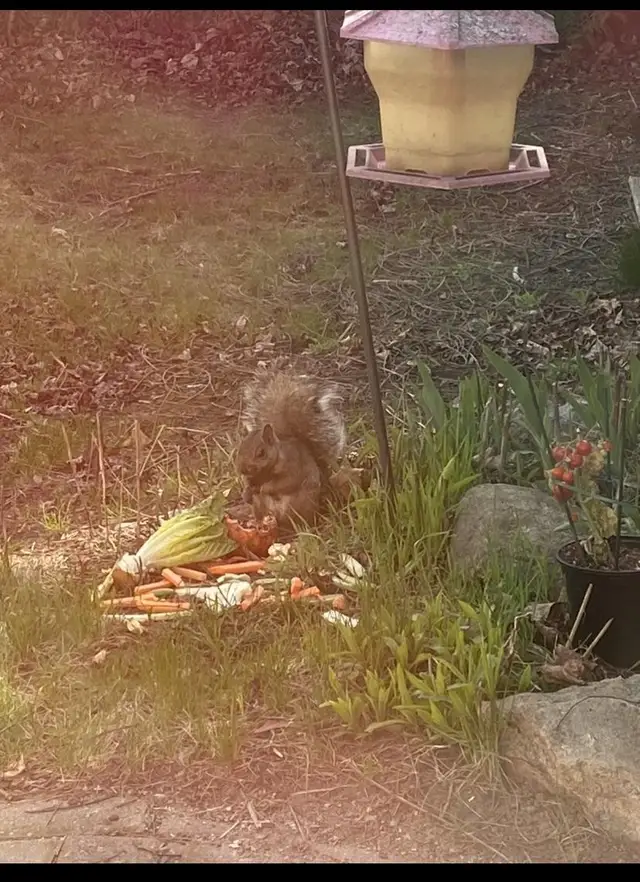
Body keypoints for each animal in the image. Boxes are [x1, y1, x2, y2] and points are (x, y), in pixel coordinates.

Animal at [236, 371, 347, 528]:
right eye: (240, 448)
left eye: (261, 453)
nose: (242, 470)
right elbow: (250, 484)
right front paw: (246, 492)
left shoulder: (293, 466)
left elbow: (286, 483)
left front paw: (264, 488)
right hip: (259, 506)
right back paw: (258, 523)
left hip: (299, 504)